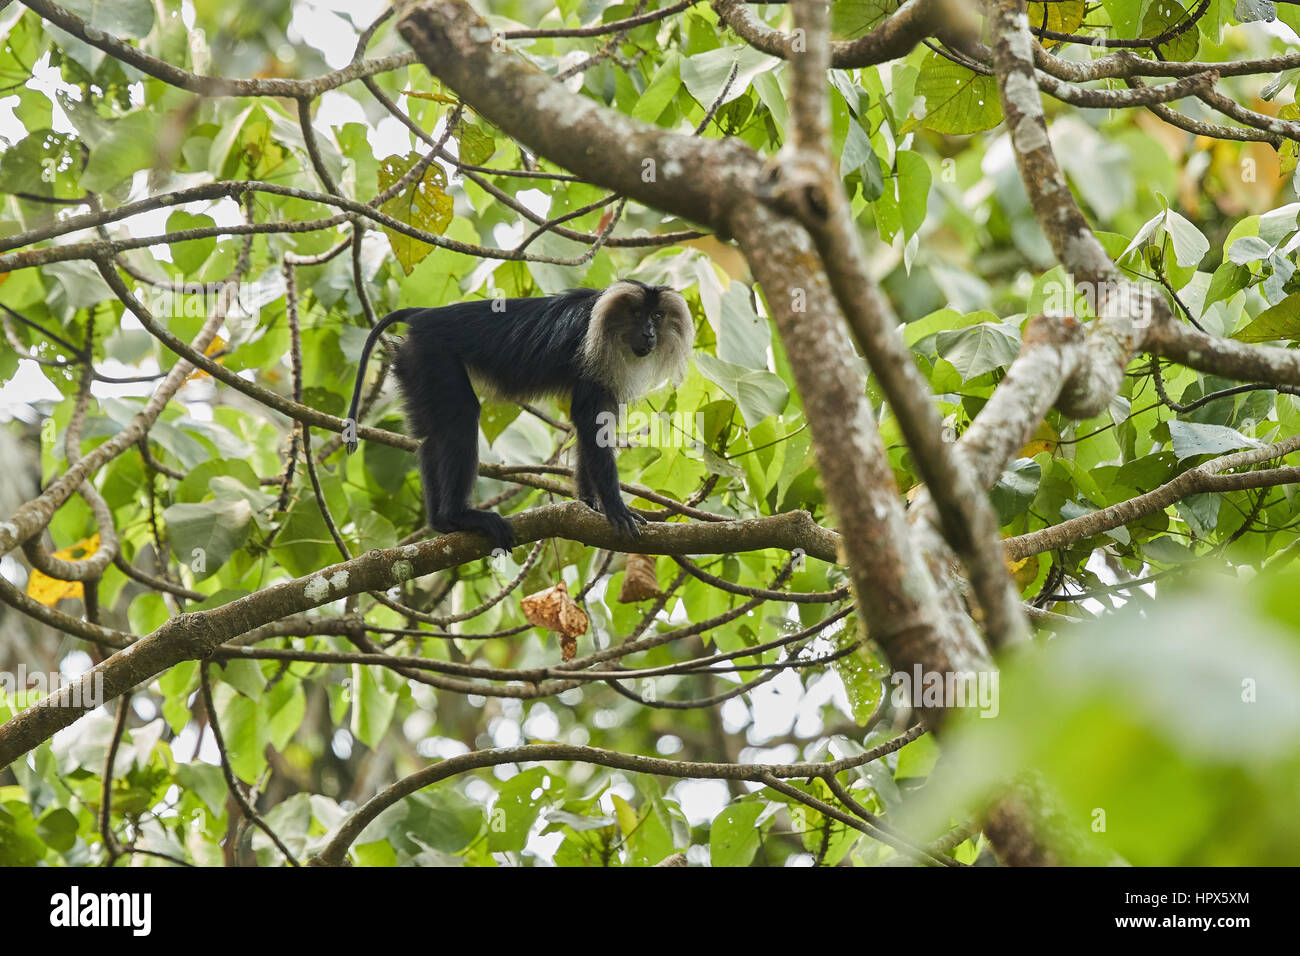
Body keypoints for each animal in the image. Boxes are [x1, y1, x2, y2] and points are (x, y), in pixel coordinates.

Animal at [345, 280, 694, 552]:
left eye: (657, 316)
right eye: (637, 314)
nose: (649, 333)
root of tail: (424, 315)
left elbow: (594, 428)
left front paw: (589, 504)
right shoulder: (592, 354)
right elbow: (589, 423)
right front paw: (615, 508)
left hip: (412, 361)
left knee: (432, 435)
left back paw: (441, 522)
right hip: (433, 355)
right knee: (460, 418)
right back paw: (460, 516)